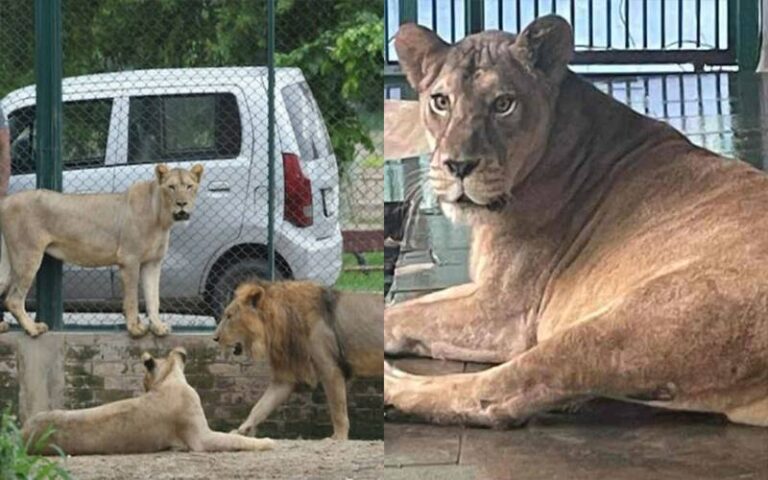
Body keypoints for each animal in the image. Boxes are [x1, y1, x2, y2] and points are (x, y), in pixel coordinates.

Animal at [0, 164, 203, 338]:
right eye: (171, 187)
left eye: (189, 186)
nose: (182, 204)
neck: (161, 218)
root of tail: (6, 200)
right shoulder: (129, 259)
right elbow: (132, 298)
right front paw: (135, 329)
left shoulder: (152, 263)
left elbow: (153, 298)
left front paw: (158, 327)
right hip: (28, 255)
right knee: (13, 299)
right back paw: (32, 328)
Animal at [22, 347, 275, 455]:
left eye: (144, 380)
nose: (142, 387)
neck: (168, 379)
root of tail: (21, 434)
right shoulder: (201, 439)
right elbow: (237, 440)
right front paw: (267, 442)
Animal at [213, 280, 383, 440]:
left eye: (229, 316)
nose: (215, 338)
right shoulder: (285, 378)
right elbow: (261, 406)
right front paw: (243, 430)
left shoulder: (330, 369)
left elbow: (337, 410)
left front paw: (338, 437)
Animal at [383, 15, 768, 428]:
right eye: (441, 101)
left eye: (503, 104)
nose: (458, 165)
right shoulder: (483, 288)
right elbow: (412, 307)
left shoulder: (505, 311)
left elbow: (417, 315)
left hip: (620, 326)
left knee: (495, 395)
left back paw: (395, 389)